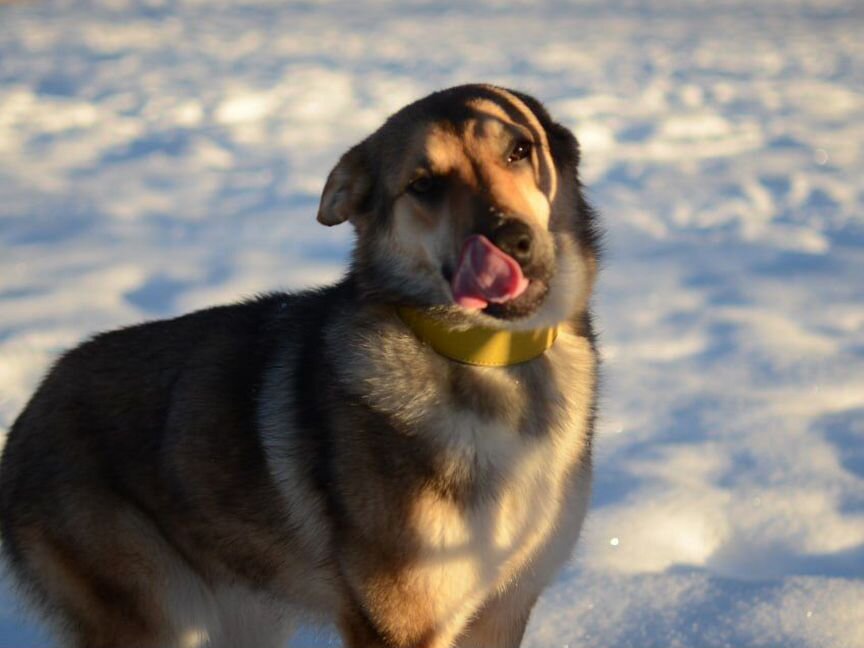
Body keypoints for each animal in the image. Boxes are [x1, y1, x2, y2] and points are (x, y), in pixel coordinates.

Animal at [0, 86, 600, 648]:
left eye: (520, 150)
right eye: (424, 184)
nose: (510, 241)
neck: (493, 360)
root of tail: (29, 413)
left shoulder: (506, 608)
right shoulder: (399, 624)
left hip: (249, 608)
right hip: (156, 607)